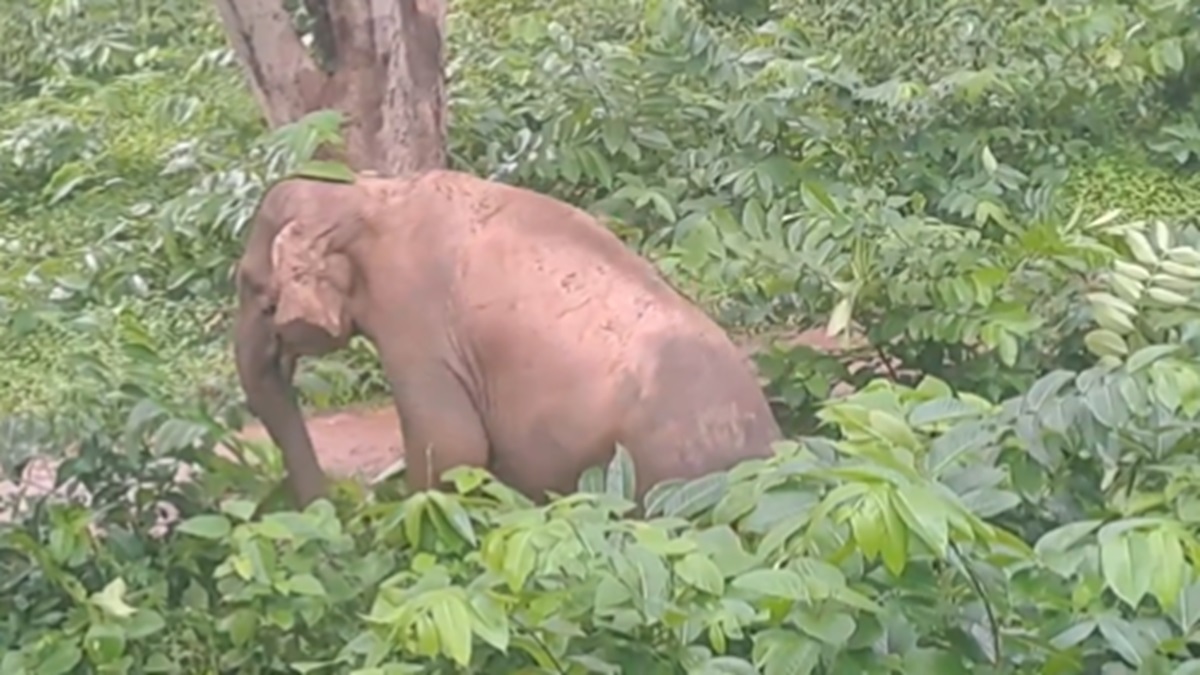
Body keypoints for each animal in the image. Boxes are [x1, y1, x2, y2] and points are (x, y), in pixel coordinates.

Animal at [233, 169, 782, 509]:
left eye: (255, 290)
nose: (341, 513)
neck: (371, 194)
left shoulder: (413, 317)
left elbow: (451, 446)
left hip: (662, 474)